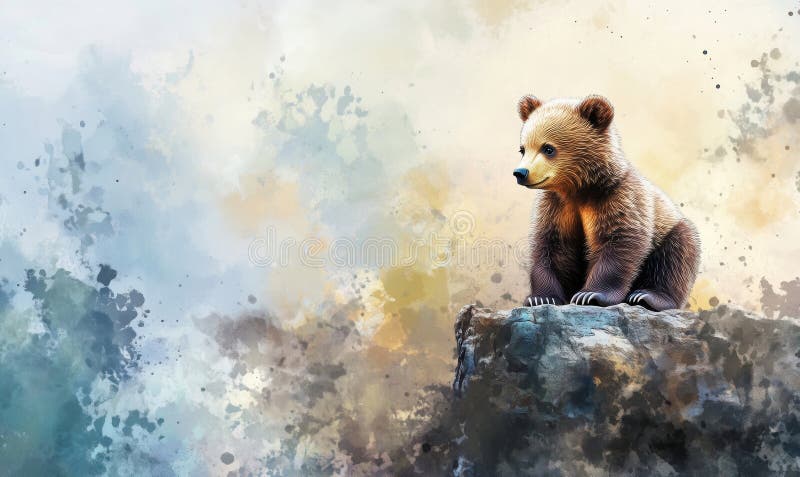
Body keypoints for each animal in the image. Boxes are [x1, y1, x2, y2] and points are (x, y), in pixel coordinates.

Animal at [514, 94, 700, 311]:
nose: (520, 173)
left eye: (548, 148)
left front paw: (590, 294)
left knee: (674, 258)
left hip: (670, 230)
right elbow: (552, 245)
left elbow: (618, 242)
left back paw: (647, 296)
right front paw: (541, 298)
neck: (580, 190)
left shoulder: (618, 197)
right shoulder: (556, 205)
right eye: (523, 149)